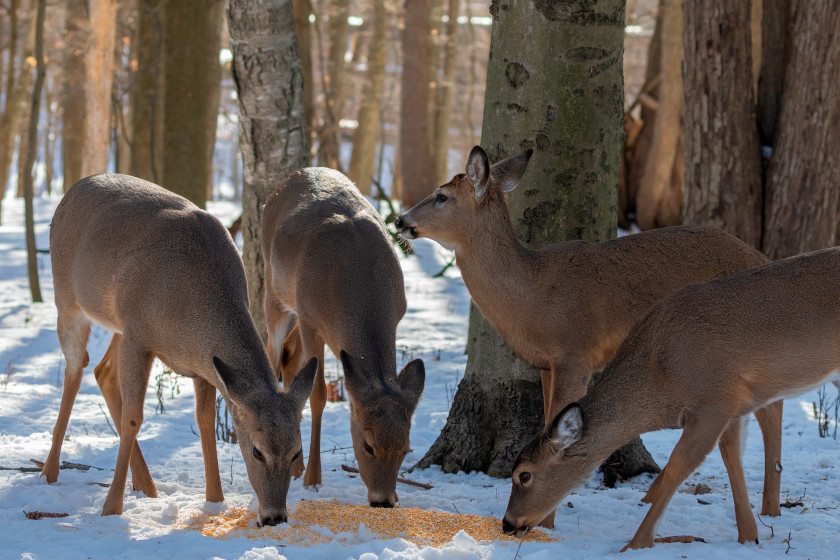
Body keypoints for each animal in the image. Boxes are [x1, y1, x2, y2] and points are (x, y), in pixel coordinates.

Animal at [44, 173, 317, 526]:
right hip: (67, 298)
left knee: (102, 371)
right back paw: (50, 471)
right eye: (257, 451)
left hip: (118, 322)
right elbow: (134, 418)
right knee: (76, 368)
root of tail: (73, 189)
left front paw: (215, 501)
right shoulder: (139, 336)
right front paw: (111, 508)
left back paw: (146, 484)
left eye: (296, 451)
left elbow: (205, 421)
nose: (275, 517)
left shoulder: (203, 363)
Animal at [261, 167, 426, 508]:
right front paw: (313, 479)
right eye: (367, 445)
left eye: (406, 449)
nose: (383, 500)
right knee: (273, 354)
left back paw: (294, 465)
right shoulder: (311, 319)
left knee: (289, 358)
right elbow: (318, 394)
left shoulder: (398, 312)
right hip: (275, 291)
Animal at [394, 146, 780, 527]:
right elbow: (548, 422)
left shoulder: (574, 355)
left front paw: (545, 523)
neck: (533, 295)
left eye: (441, 196)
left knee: (771, 409)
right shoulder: (545, 364)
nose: (399, 220)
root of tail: (761, 255)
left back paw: (770, 508)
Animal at [503, 246, 840, 550]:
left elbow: (679, 466)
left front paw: (635, 544)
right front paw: (749, 536)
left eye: (524, 475)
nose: (507, 524)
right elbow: (732, 459)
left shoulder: (713, 400)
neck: (661, 375)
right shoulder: (732, 406)